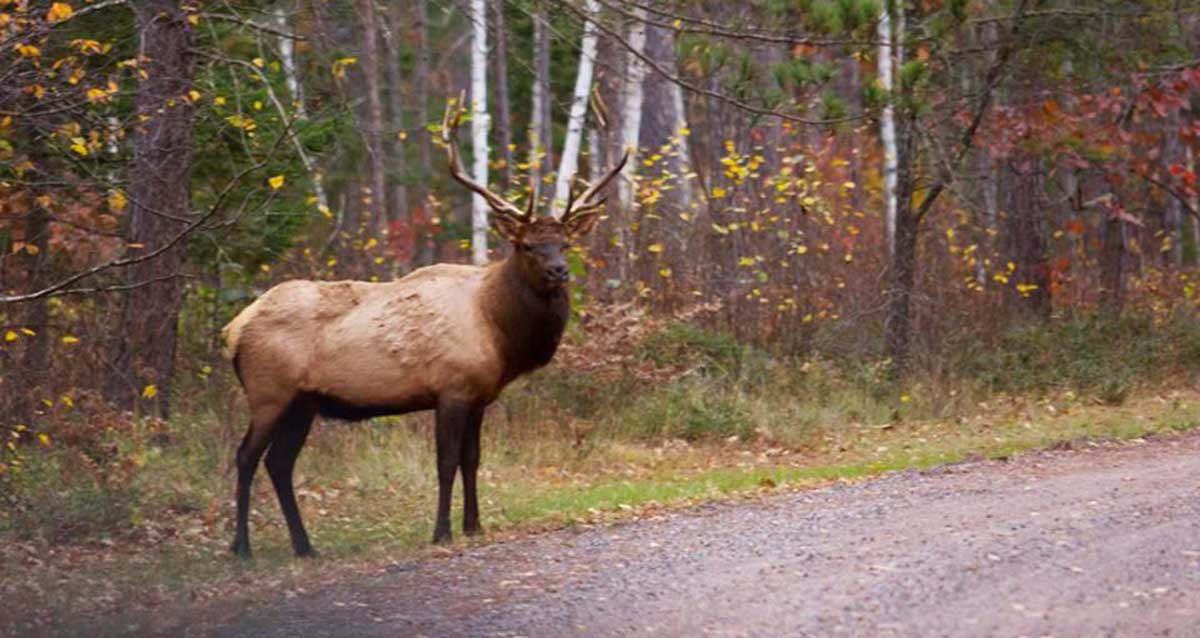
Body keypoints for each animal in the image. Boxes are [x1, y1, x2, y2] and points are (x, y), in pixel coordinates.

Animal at [221, 101, 627, 557]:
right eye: (526, 245)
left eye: (565, 244)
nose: (559, 271)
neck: (499, 330)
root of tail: (233, 330)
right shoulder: (450, 389)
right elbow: (446, 462)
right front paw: (442, 531)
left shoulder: (479, 396)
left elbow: (473, 459)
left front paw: (474, 526)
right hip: (268, 391)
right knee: (246, 456)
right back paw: (242, 547)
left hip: (303, 401)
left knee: (279, 463)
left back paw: (305, 546)